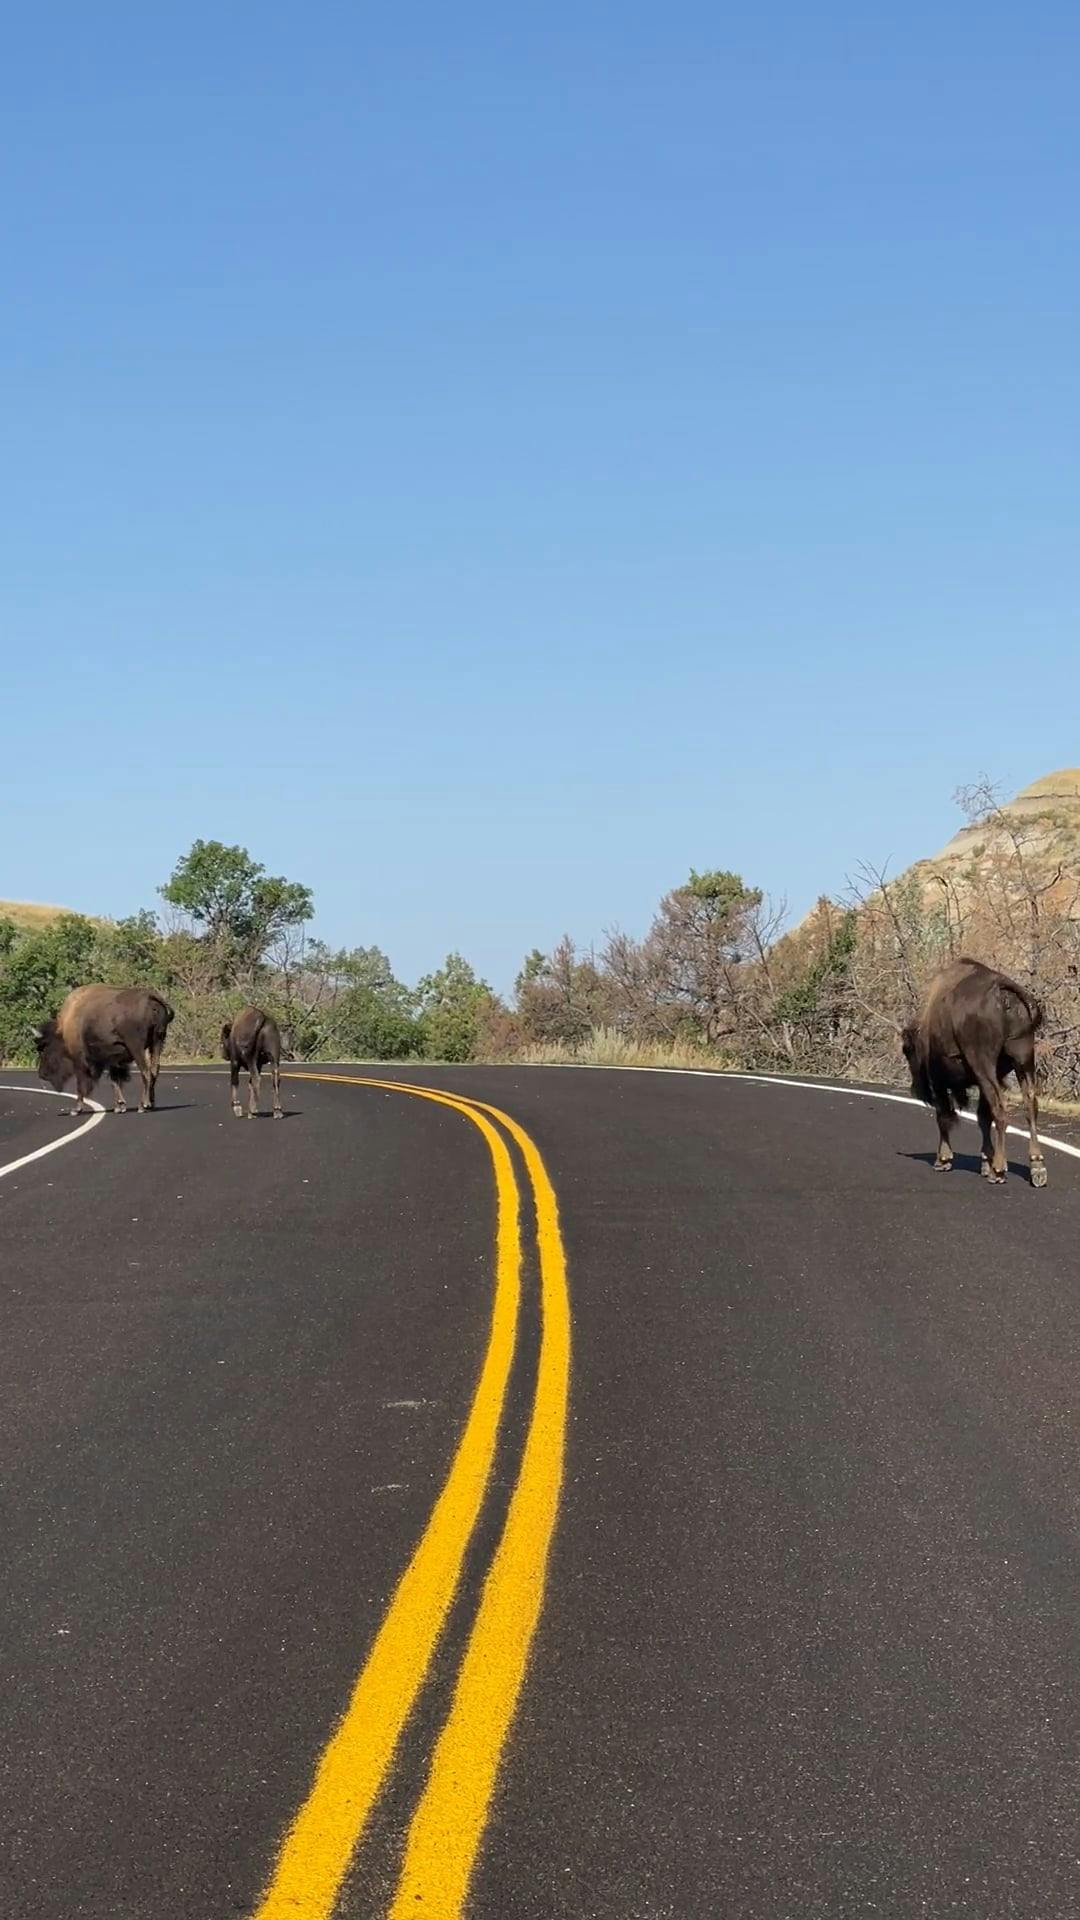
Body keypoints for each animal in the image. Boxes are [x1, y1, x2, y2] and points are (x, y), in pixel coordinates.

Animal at [36, 986, 174, 1116]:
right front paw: (120, 1106)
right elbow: (115, 1081)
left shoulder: (80, 1060)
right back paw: (151, 1103)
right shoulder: (113, 1059)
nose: (41, 1074)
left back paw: (143, 1105)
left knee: (146, 1071)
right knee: (154, 1070)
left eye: (44, 1049)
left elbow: (81, 1084)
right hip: (157, 1042)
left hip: (137, 1048)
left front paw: (76, 1110)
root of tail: (151, 997)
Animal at [901, 957, 1046, 1187]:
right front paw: (985, 1162)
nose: (916, 1089)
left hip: (984, 1064)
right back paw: (1037, 1168)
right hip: (1023, 1059)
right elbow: (982, 1117)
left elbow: (944, 1116)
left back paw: (999, 1170)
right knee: (1029, 1105)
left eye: (907, 1051)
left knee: (1000, 1109)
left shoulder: (939, 1081)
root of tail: (1003, 991)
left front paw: (943, 1160)